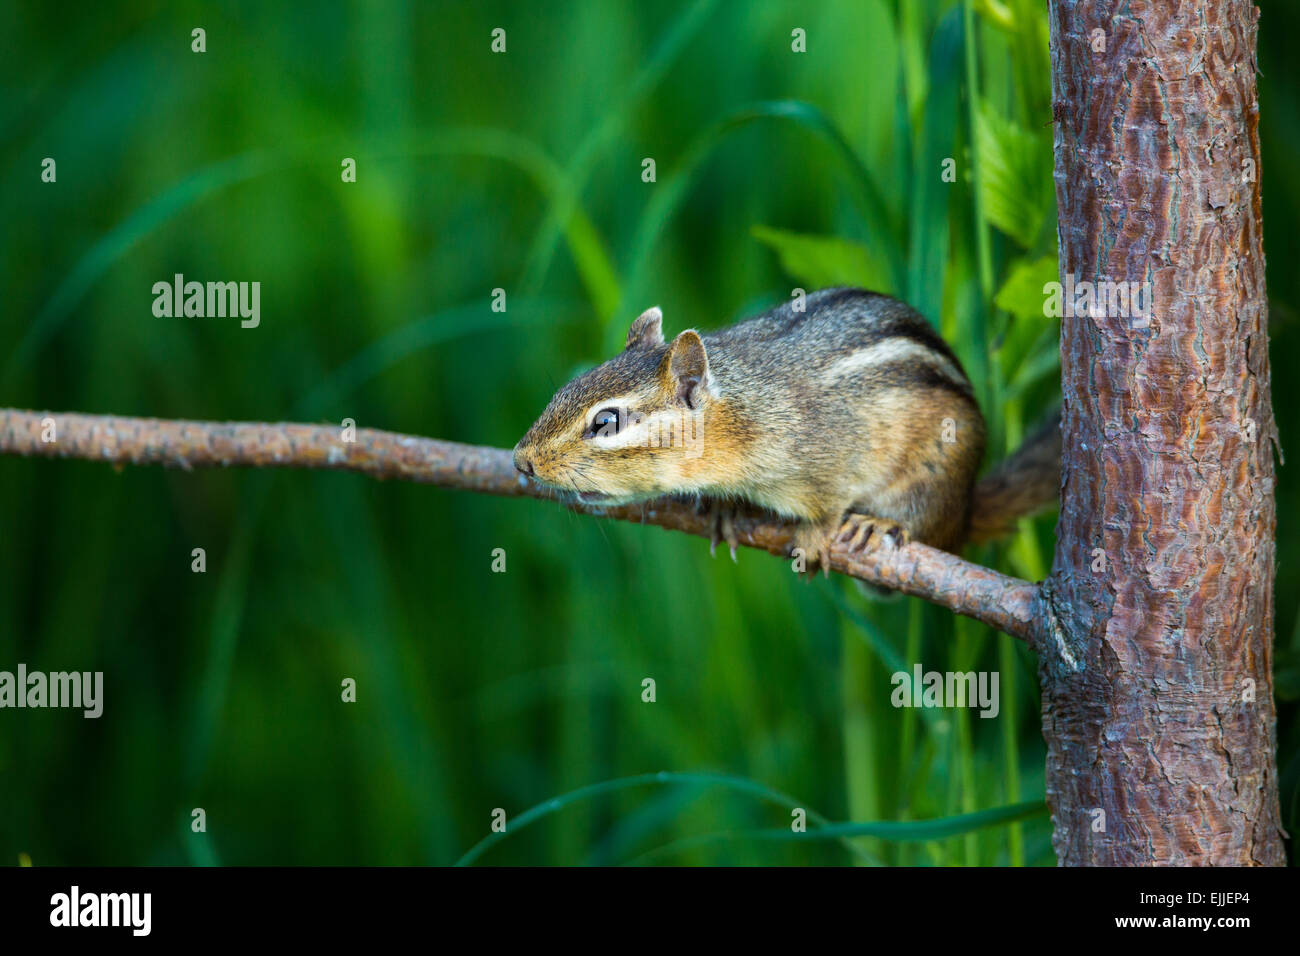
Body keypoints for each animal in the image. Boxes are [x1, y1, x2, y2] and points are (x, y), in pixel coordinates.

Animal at [513, 287, 1060, 571]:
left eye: (606, 422)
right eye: (568, 387)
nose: (521, 461)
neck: (744, 411)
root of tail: (965, 507)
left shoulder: (833, 457)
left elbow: (829, 504)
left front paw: (816, 535)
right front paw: (726, 511)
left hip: (936, 471)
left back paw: (882, 524)